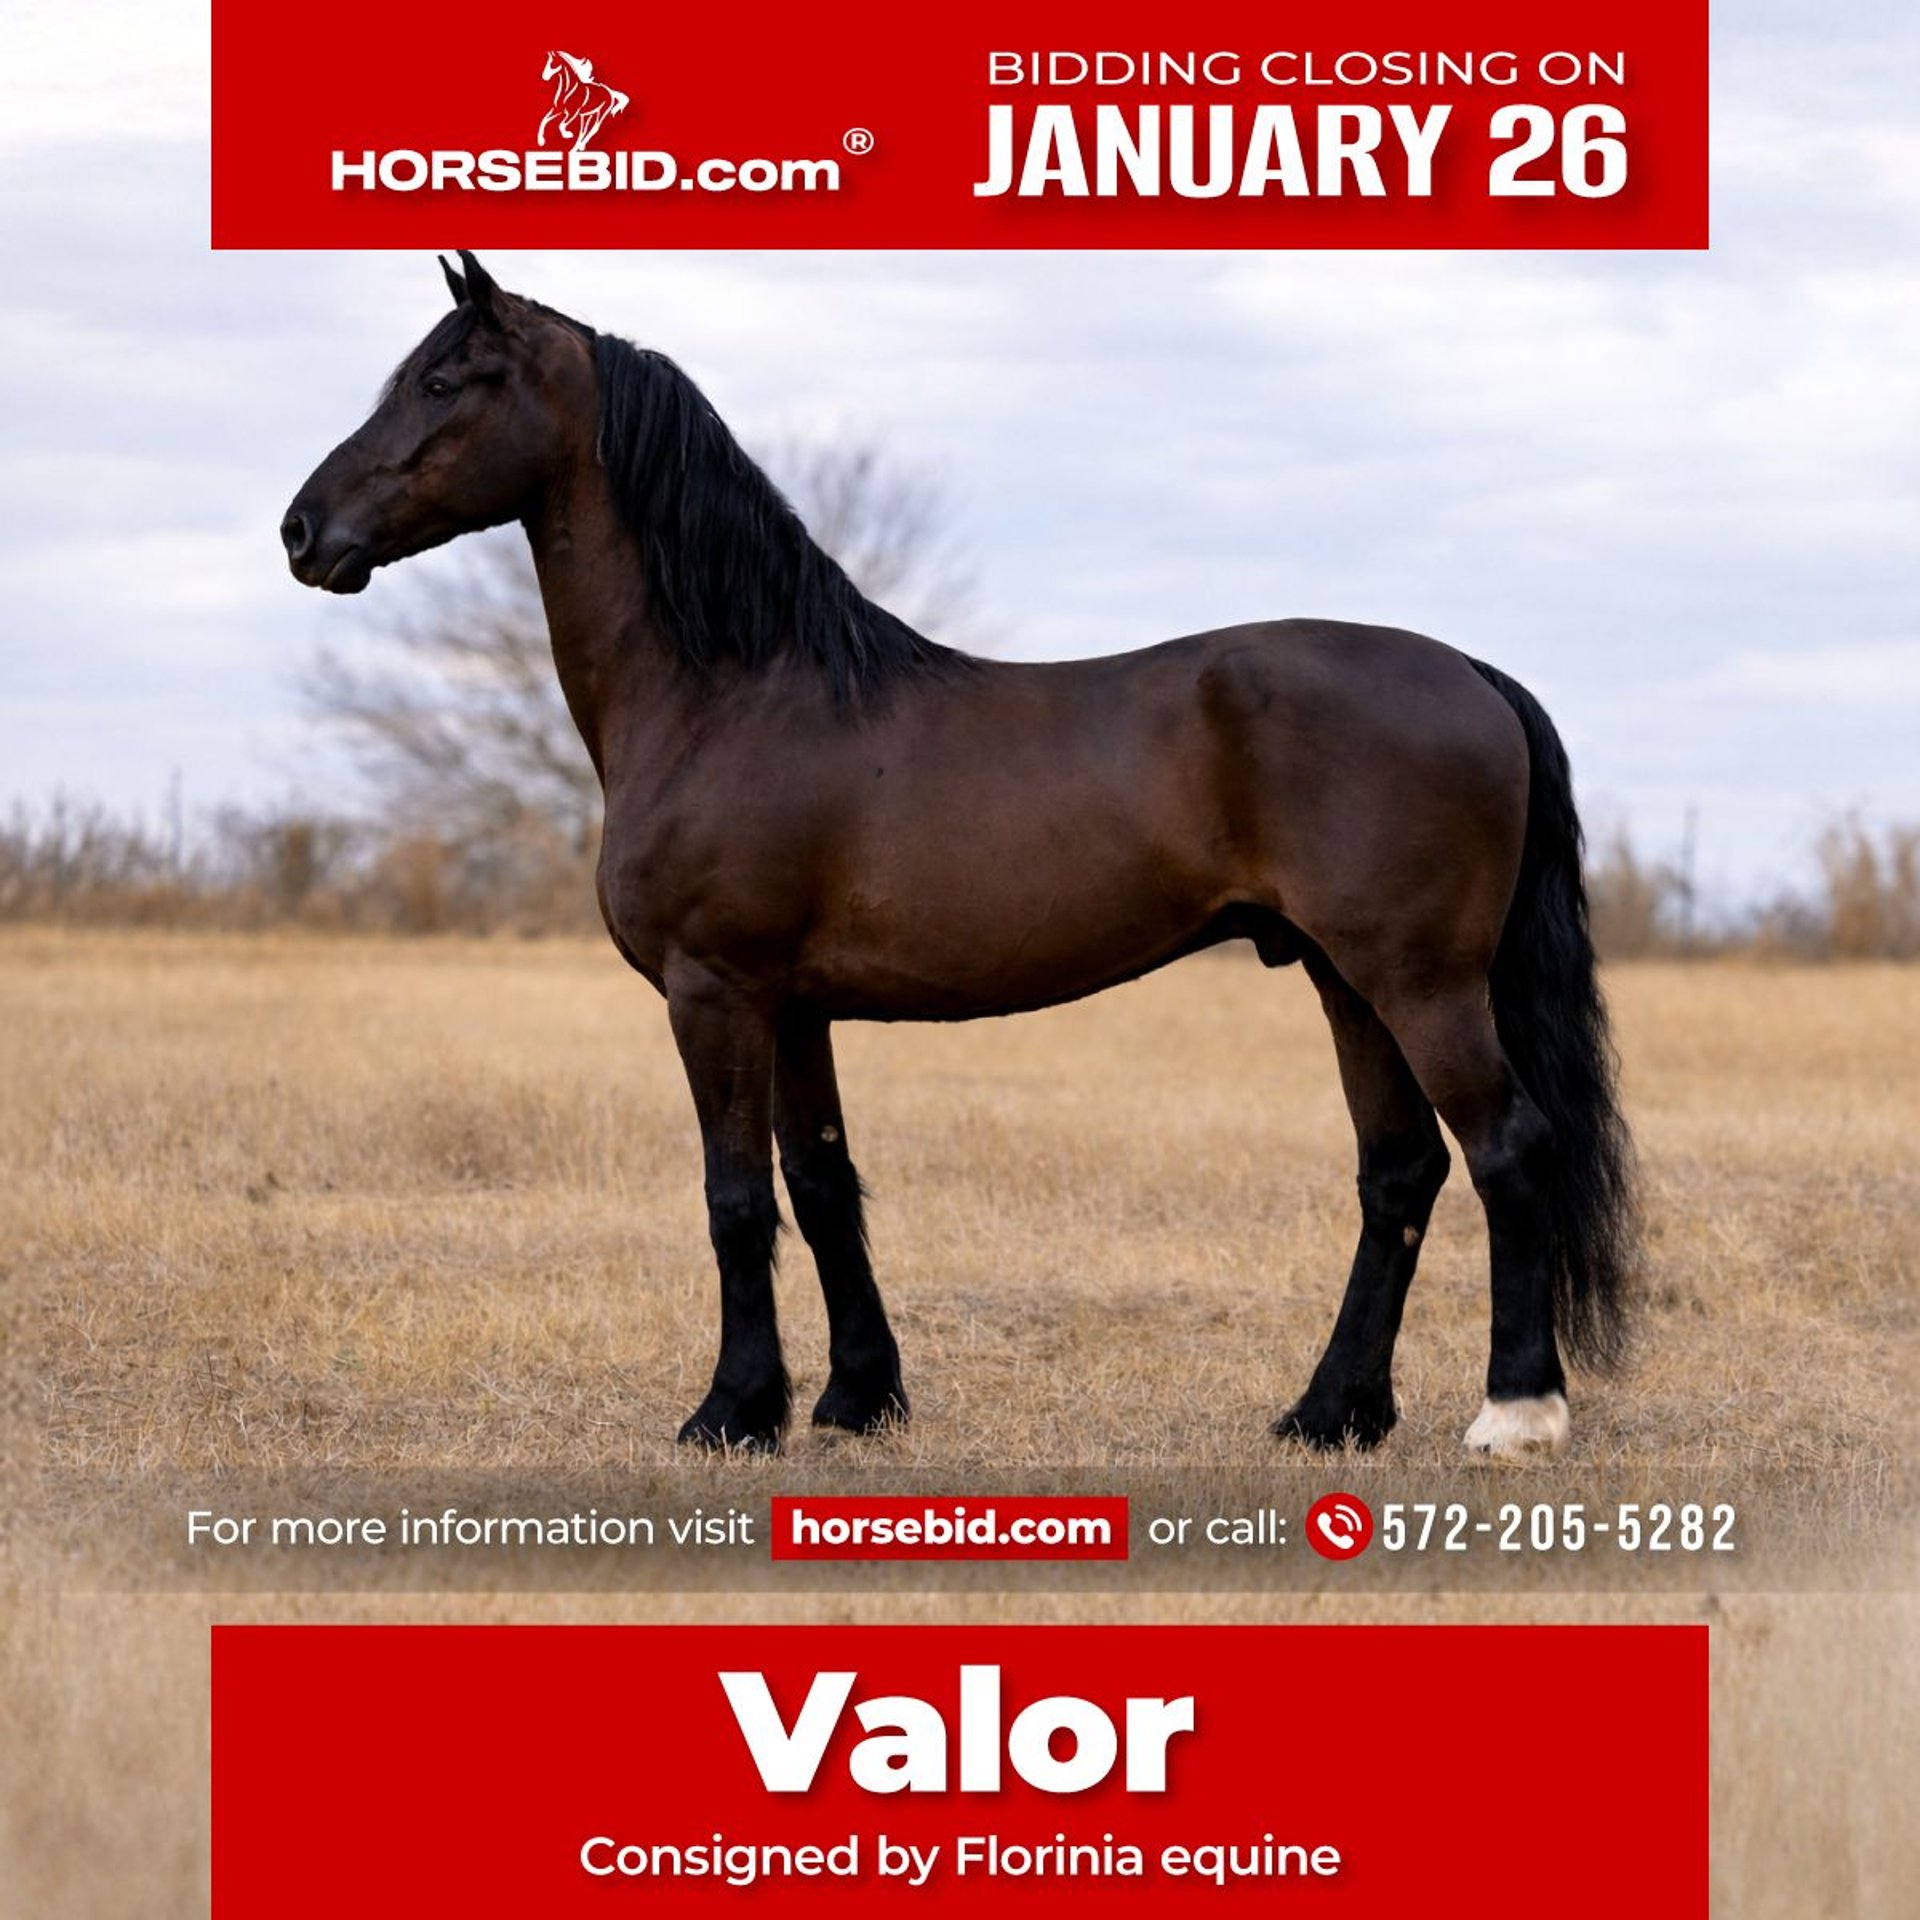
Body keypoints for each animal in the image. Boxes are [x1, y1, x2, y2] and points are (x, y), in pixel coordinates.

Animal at [280, 252, 1637, 1458]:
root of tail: (1472, 674)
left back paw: (1516, 1415)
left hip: (1418, 982)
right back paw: (1330, 1415)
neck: (732, 690)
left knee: (1507, 1148)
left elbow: (735, 1200)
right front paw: (854, 1399)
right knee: (1400, 1171)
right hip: (1341, 977)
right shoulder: (794, 1007)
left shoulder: (714, 992)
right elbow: (822, 1188)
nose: (303, 530)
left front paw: (732, 1413)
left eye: (443, 381)